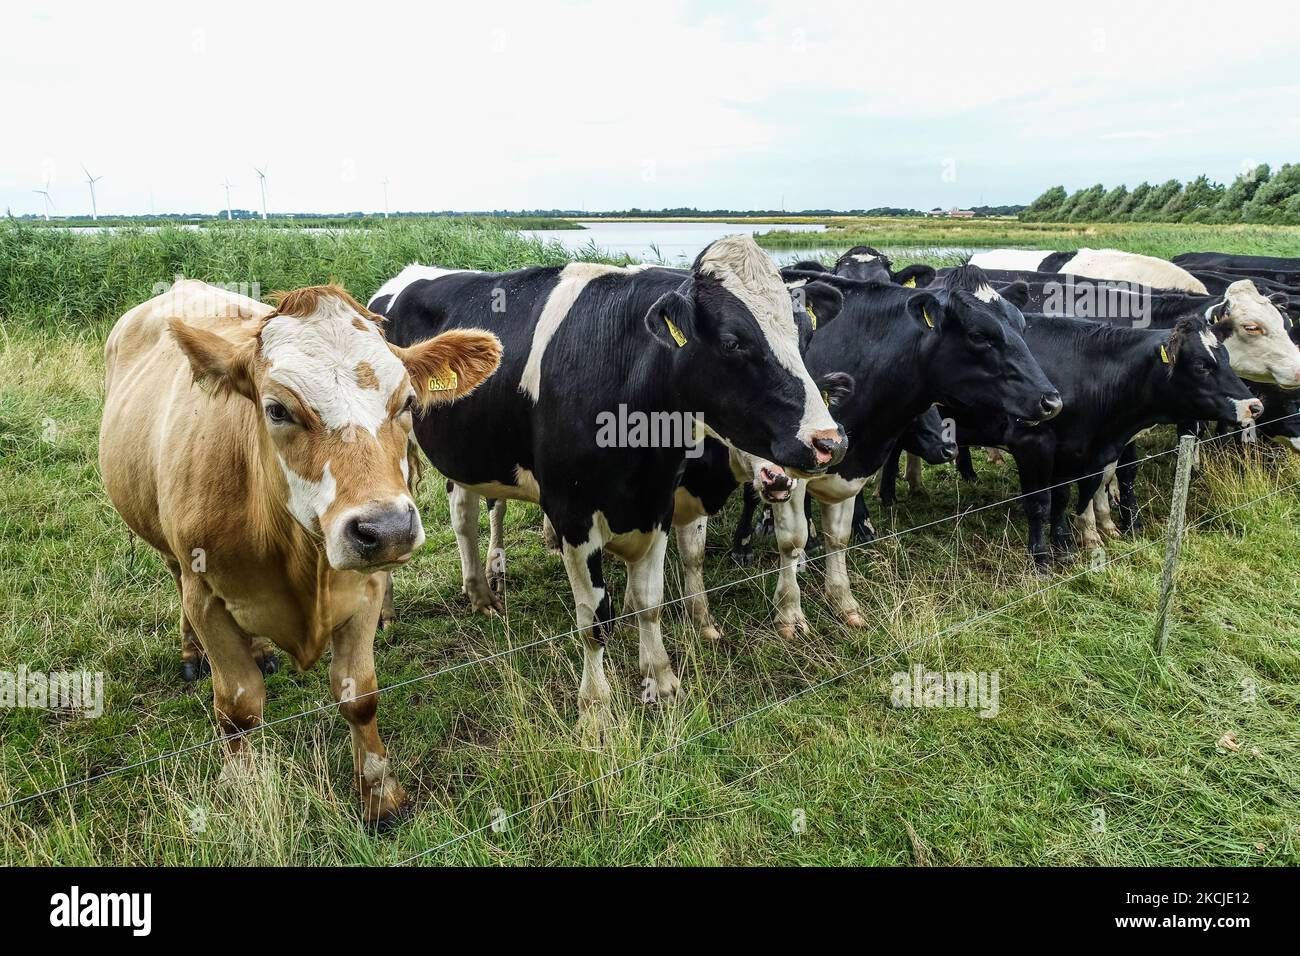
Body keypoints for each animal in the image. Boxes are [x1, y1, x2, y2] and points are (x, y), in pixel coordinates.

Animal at [99, 280, 501, 824]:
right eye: (277, 409)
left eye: (407, 402)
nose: (387, 529)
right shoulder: (205, 596)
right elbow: (239, 709)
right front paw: (243, 789)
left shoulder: (367, 587)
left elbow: (359, 694)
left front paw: (380, 795)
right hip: (166, 548)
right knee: (174, 580)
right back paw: (190, 653)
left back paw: (262, 650)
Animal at [370, 236, 847, 730]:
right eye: (734, 342)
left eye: (803, 337)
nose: (828, 442)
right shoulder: (573, 515)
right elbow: (595, 620)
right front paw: (595, 709)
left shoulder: (656, 504)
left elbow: (650, 601)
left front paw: (661, 680)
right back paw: (388, 610)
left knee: (464, 516)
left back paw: (481, 594)